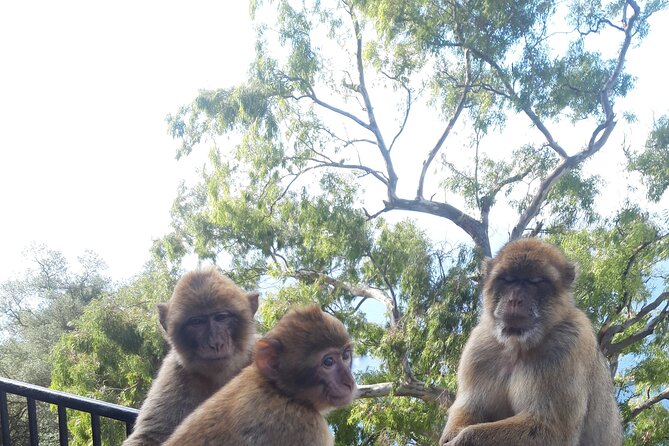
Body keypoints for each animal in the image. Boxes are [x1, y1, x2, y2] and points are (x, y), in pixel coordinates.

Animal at [440, 238, 622, 446]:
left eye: (536, 282)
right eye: (507, 279)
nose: (514, 299)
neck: (517, 345)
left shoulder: (569, 342)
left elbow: (551, 429)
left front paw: (462, 439)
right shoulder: (479, 347)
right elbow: (470, 408)